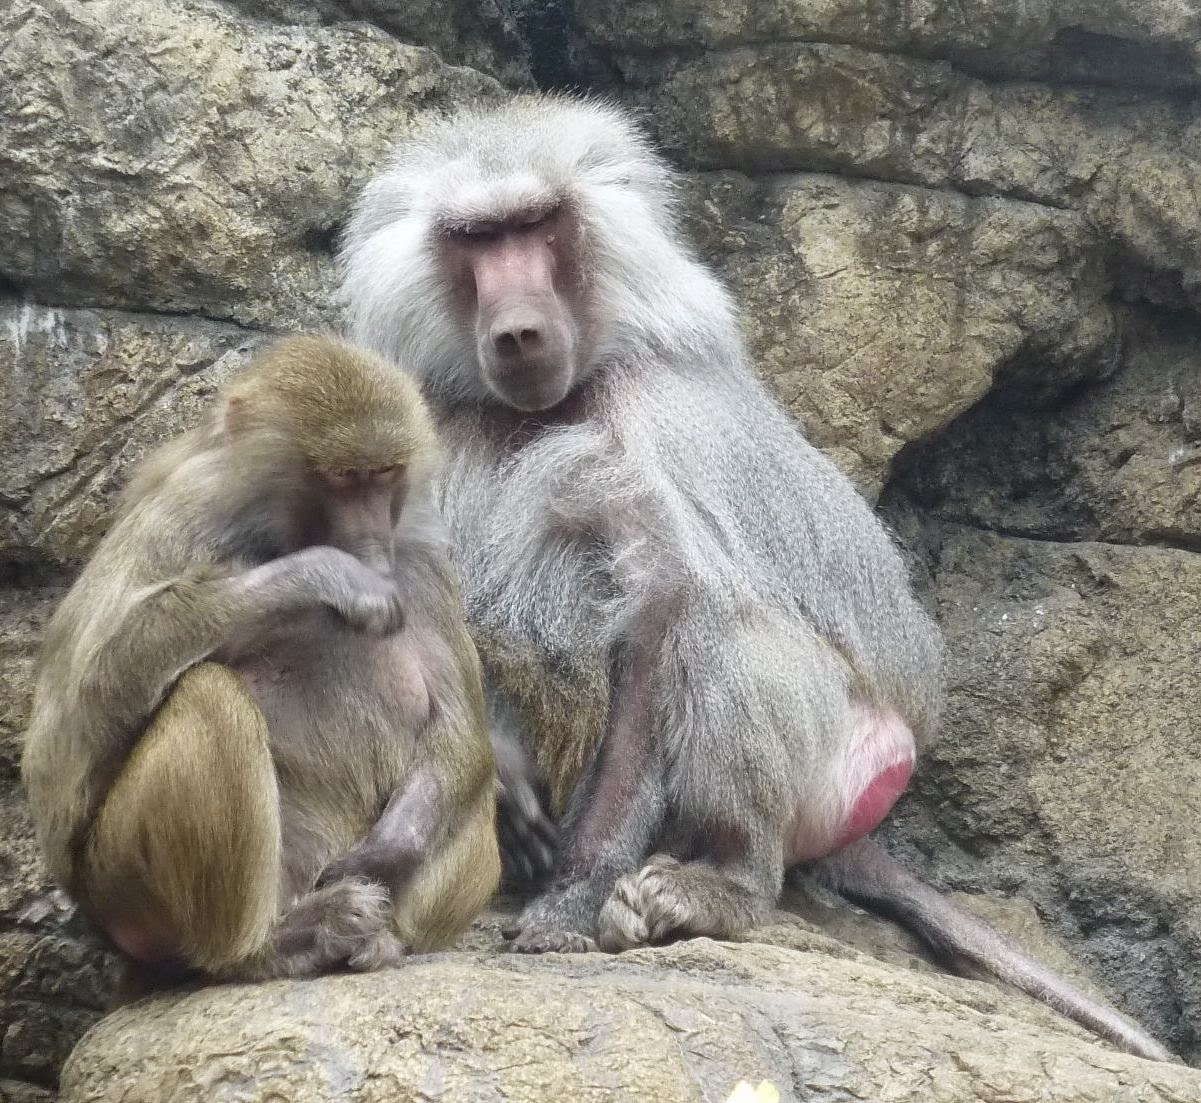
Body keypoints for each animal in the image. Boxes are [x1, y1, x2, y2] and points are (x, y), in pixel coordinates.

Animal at [21, 334, 500, 984]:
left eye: (385, 475)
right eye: (343, 480)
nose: (374, 547)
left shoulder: (419, 552)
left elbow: (460, 730)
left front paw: (381, 858)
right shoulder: (186, 509)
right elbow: (93, 687)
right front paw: (327, 573)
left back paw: (377, 935)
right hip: (118, 881)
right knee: (209, 695)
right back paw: (272, 946)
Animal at [338, 95, 1172, 1062]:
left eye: (537, 225)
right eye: (475, 238)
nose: (515, 329)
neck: (548, 405)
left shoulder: (651, 417)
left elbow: (660, 608)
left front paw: (570, 901)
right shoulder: (440, 429)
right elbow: (437, 613)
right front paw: (503, 787)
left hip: (842, 760)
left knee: (725, 628)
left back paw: (720, 887)